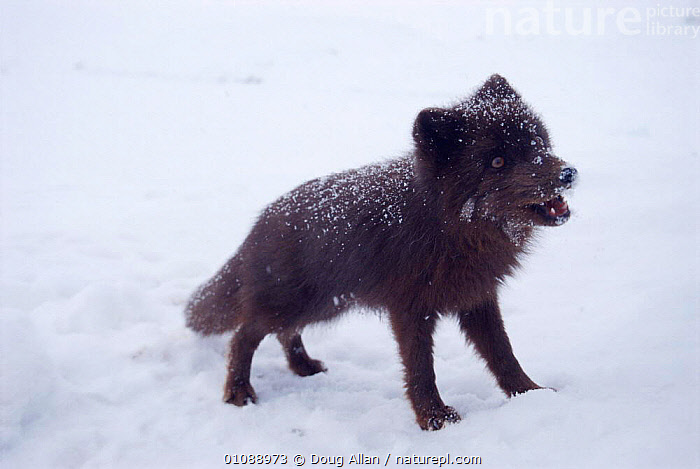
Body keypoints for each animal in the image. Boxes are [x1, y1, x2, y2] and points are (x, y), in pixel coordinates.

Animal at [185, 74, 577, 430]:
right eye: (496, 162)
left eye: (537, 142)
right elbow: (420, 368)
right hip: (294, 303)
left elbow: (503, 354)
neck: (447, 228)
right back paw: (238, 392)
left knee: (284, 333)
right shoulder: (409, 309)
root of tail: (260, 222)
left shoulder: (477, 297)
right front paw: (433, 418)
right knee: (243, 335)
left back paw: (303, 367)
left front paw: (531, 395)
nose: (568, 173)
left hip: (324, 305)